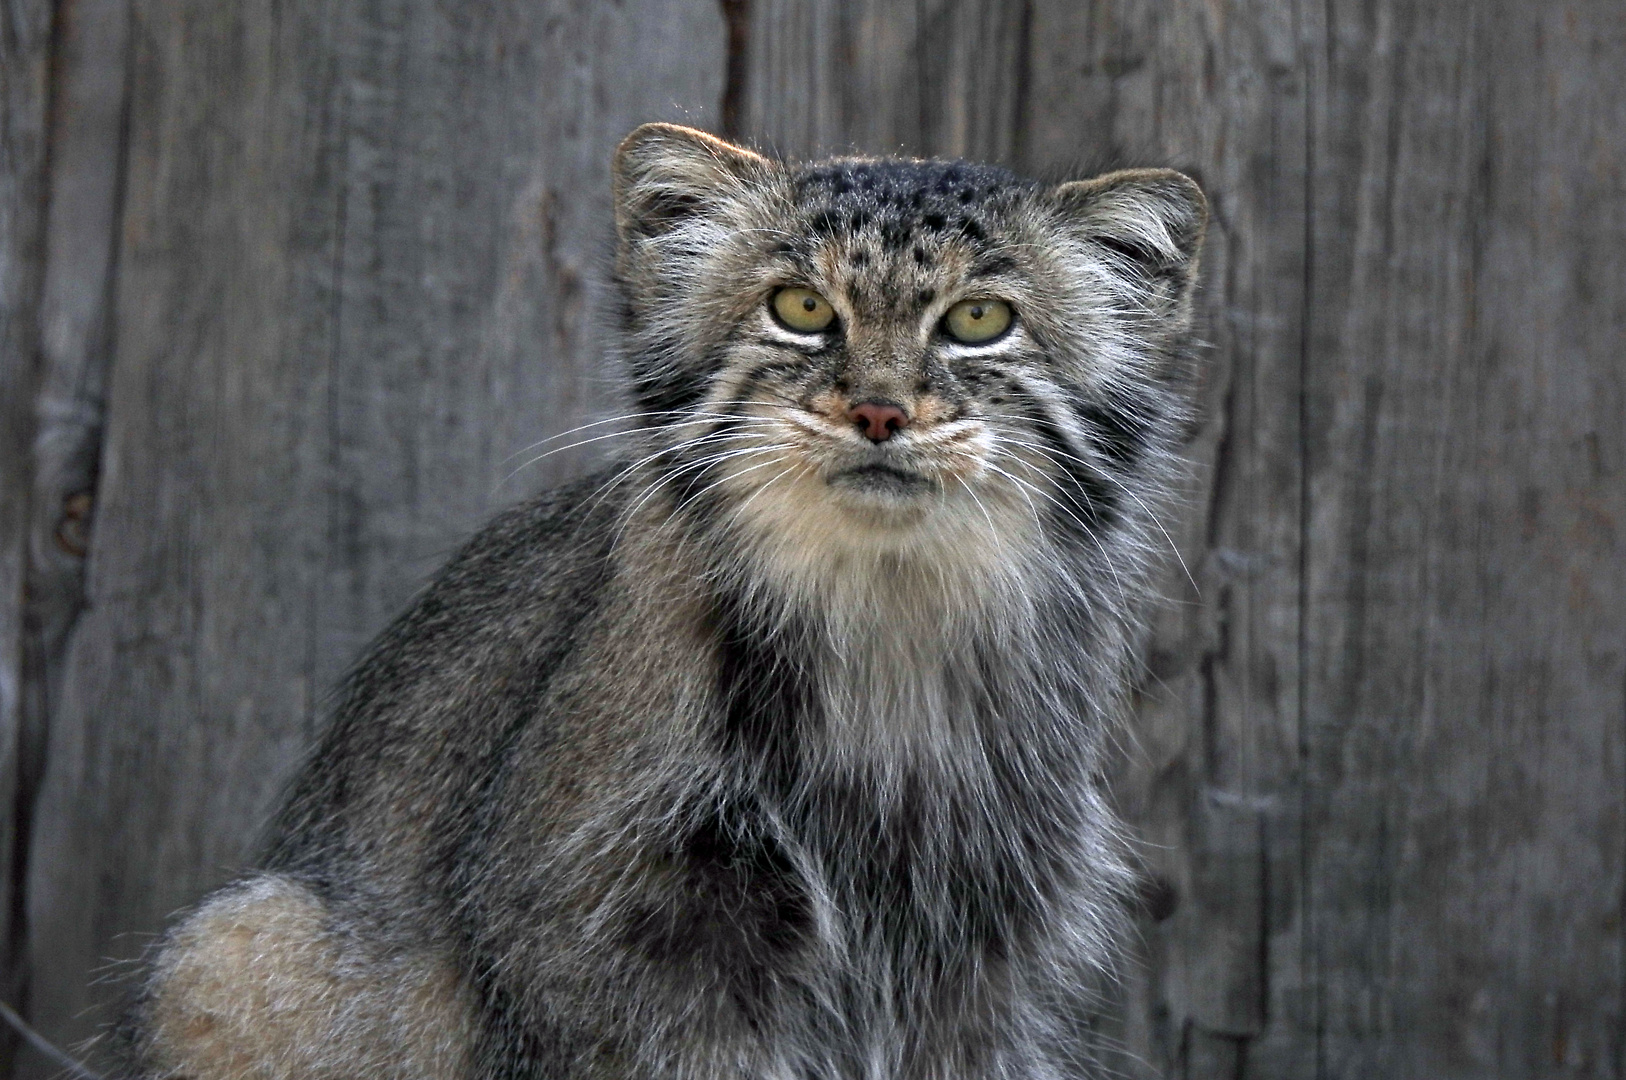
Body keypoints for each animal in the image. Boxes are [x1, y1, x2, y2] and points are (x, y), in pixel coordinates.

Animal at [120, 121, 1203, 1073]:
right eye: (801, 309)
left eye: (980, 321)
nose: (879, 413)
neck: (887, 623)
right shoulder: (604, 945)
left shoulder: (978, 957)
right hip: (239, 938)